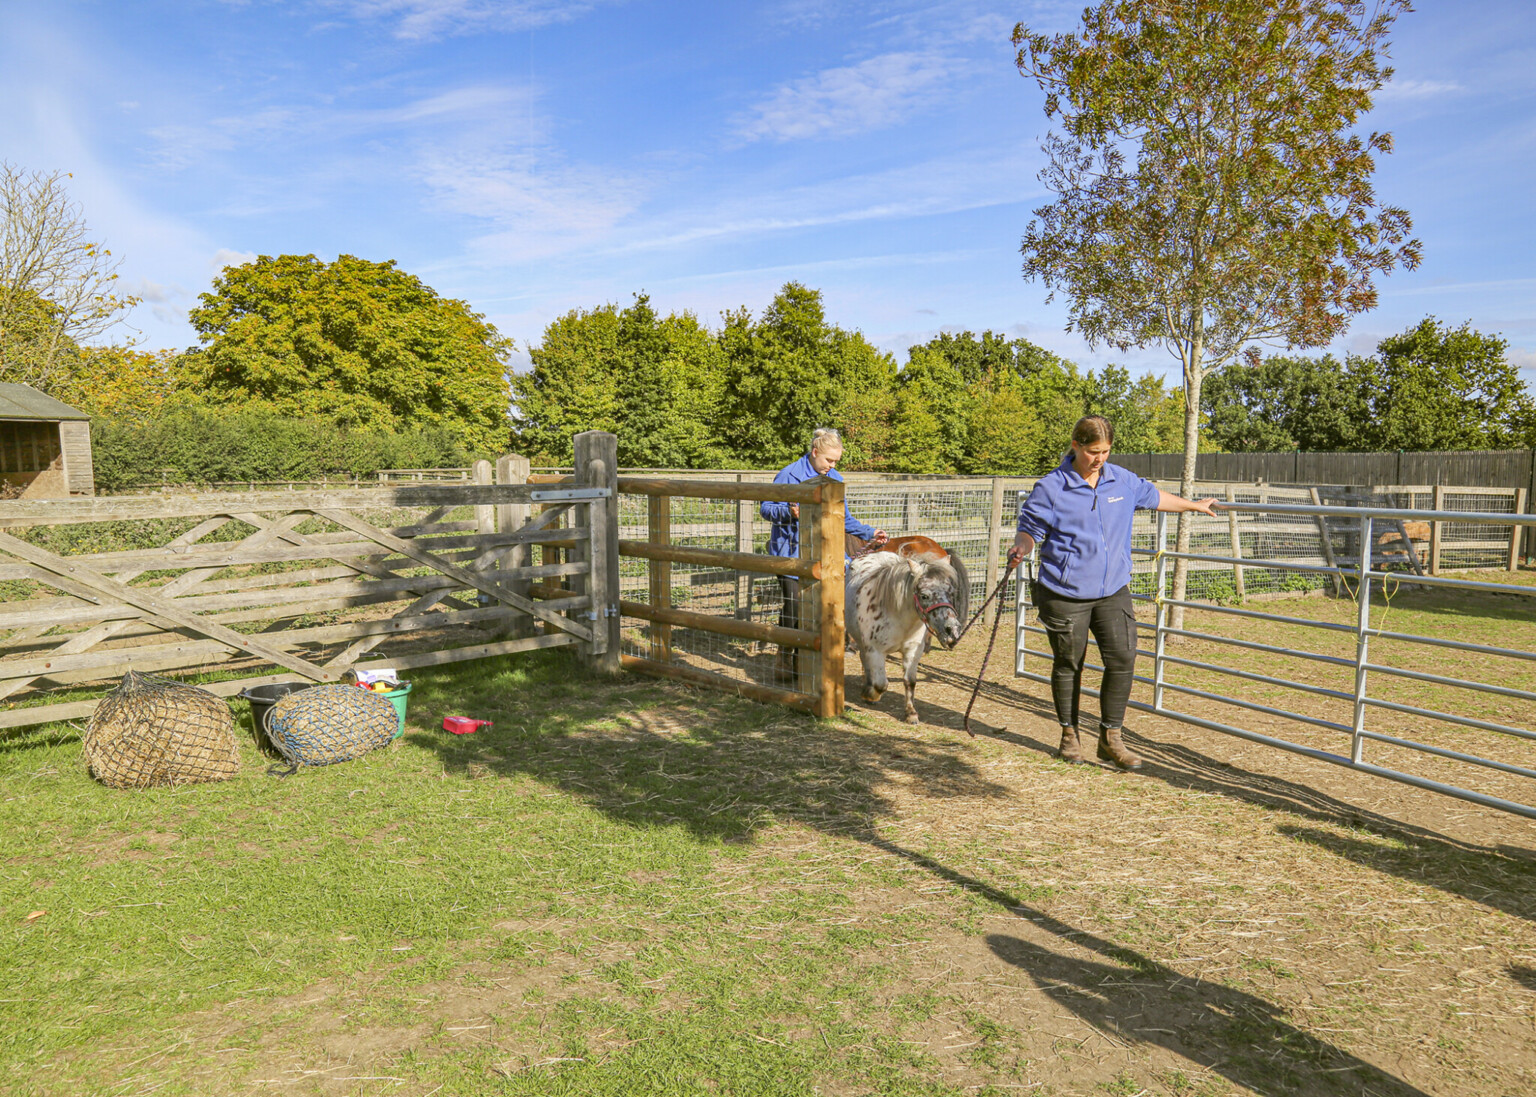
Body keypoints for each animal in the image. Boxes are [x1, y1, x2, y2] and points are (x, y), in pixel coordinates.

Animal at [844, 542, 969, 724]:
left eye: (951, 592)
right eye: (924, 595)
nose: (952, 629)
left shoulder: (913, 651)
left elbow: (910, 682)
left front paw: (911, 713)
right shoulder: (875, 651)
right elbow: (881, 684)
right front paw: (870, 695)